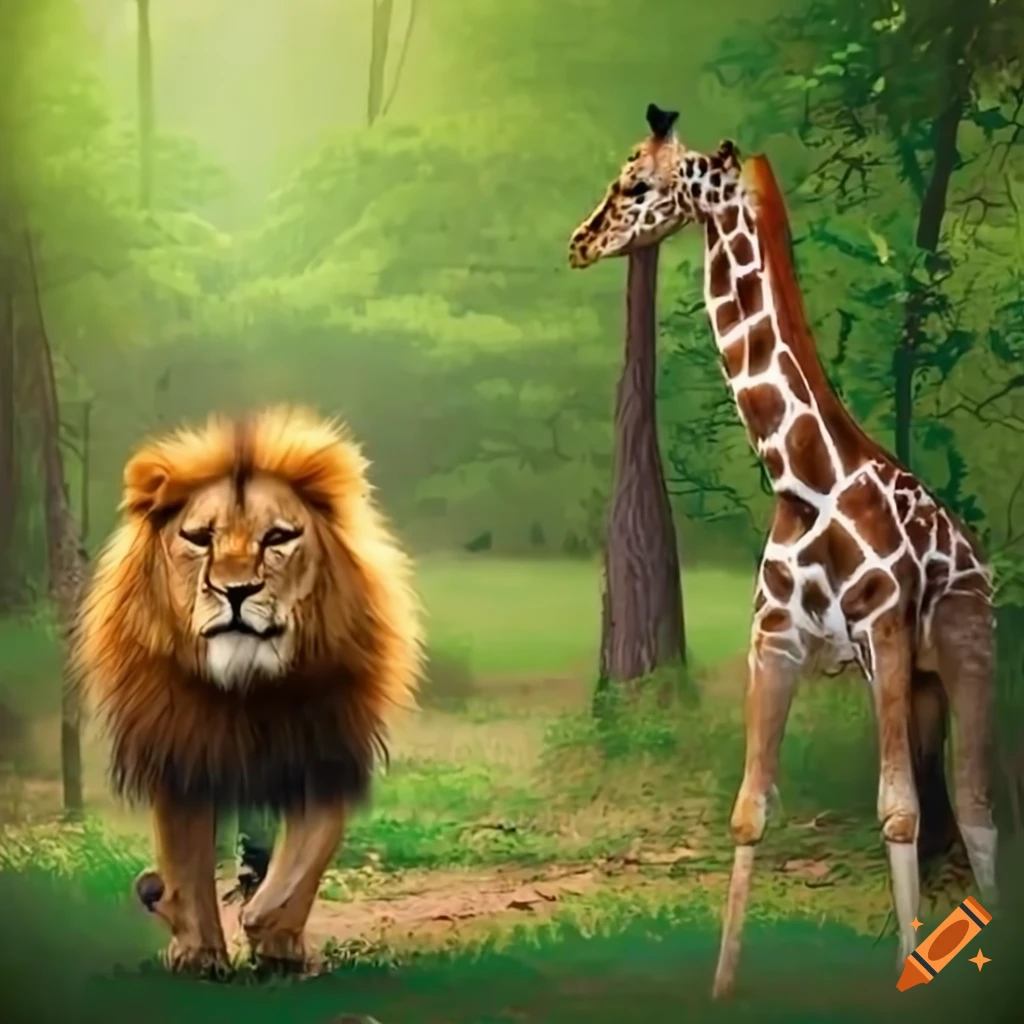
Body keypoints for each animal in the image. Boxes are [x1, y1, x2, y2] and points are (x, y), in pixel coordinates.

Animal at [72, 406, 423, 976]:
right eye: (199, 539)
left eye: (277, 538)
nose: (235, 591)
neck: (247, 690)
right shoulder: (182, 752)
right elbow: (187, 863)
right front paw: (199, 954)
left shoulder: (325, 749)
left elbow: (303, 862)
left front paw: (272, 938)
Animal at [568, 104, 999, 998]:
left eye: (638, 185)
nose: (580, 242)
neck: (801, 476)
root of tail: (976, 554)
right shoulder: (777, 641)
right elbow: (750, 811)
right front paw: (721, 991)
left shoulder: (884, 630)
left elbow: (897, 813)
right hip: (923, 682)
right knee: (954, 801)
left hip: (966, 645)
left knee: (979, 810)